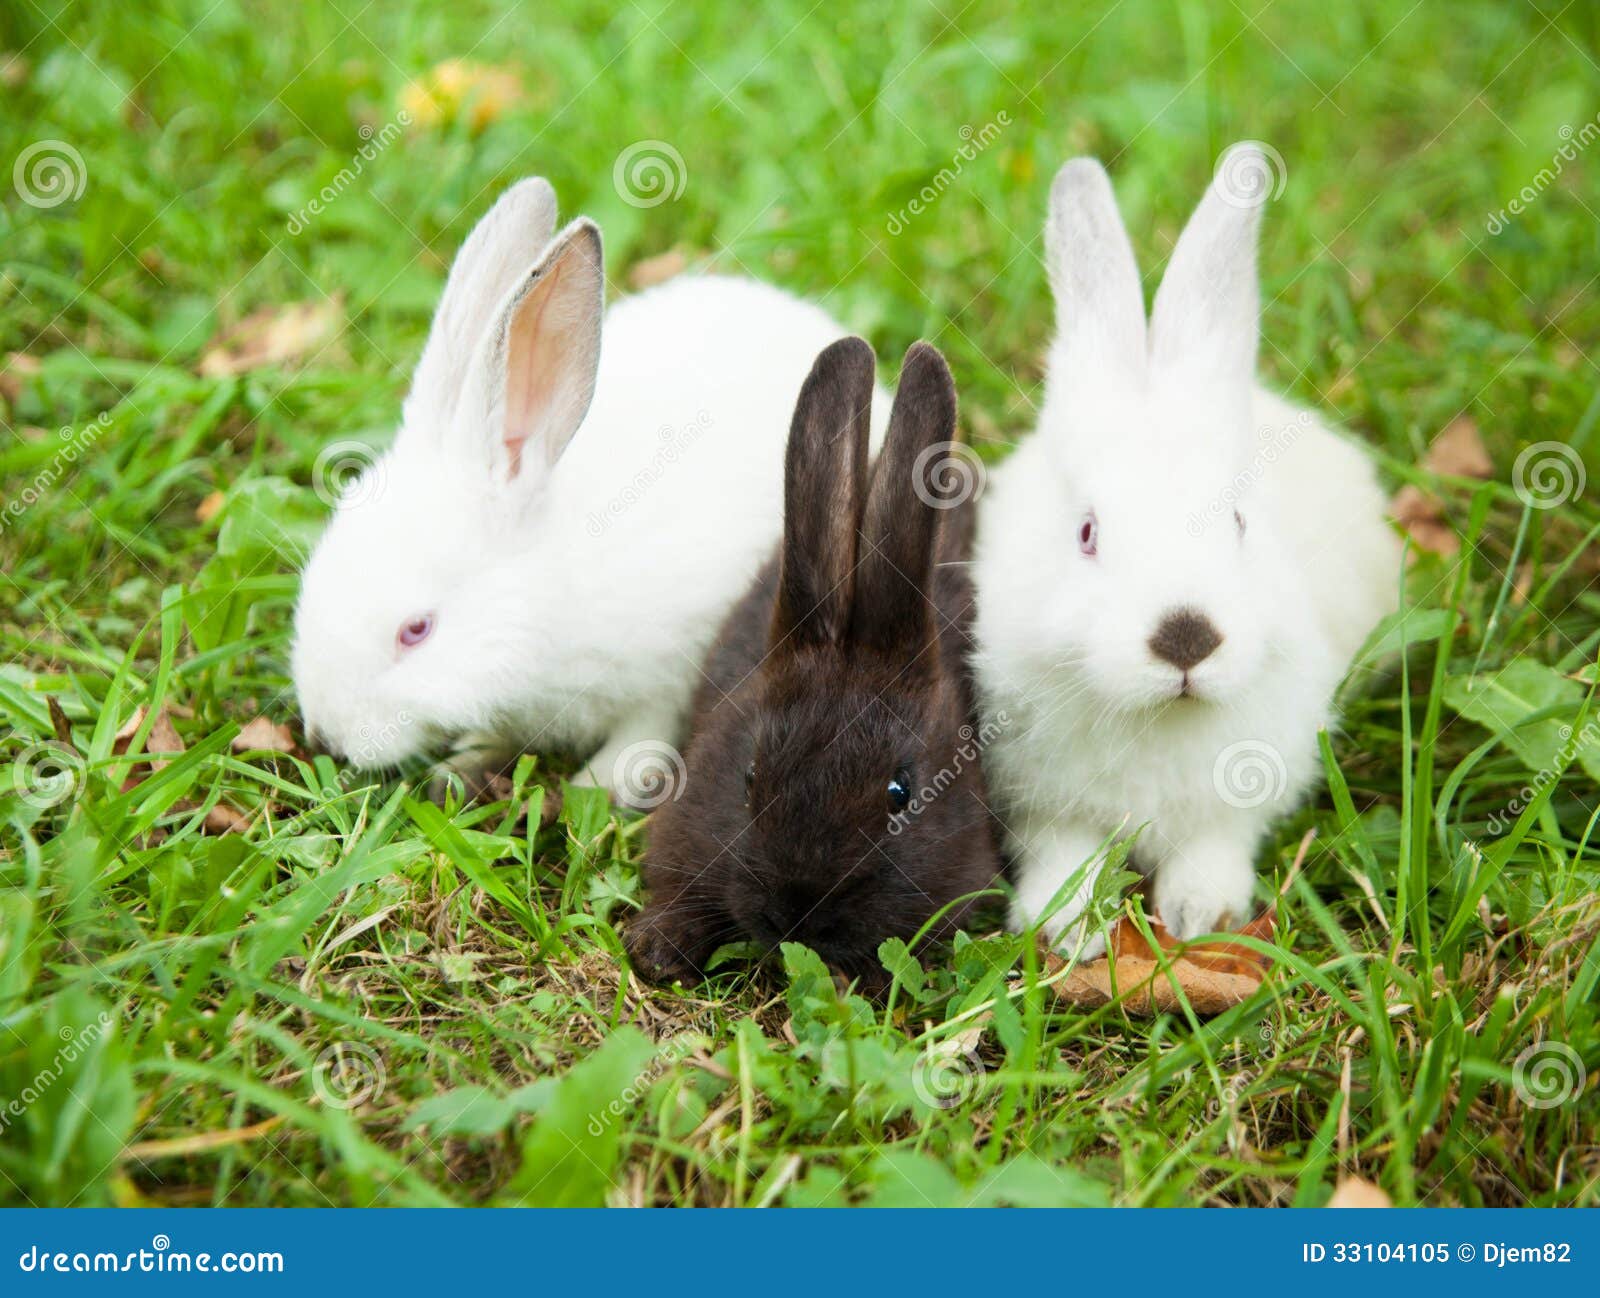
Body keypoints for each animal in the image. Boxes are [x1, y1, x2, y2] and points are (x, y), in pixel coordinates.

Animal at [291, 177, 887, 804]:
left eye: (416, 631)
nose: (325, 737)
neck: (545, 593)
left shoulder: (670, 670)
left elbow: (644, 731)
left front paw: (597, 787)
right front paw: (462, 764)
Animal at [971, 146, 1401, 956]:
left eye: (1238, 521)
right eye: (1086, 533)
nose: (1186, 637)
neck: (1158, 720)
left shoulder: (1238, 802)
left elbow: (1214, 848)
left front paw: (1201, 918)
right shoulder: (1043, 804)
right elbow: (1063, 855)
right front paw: (1066, 930)